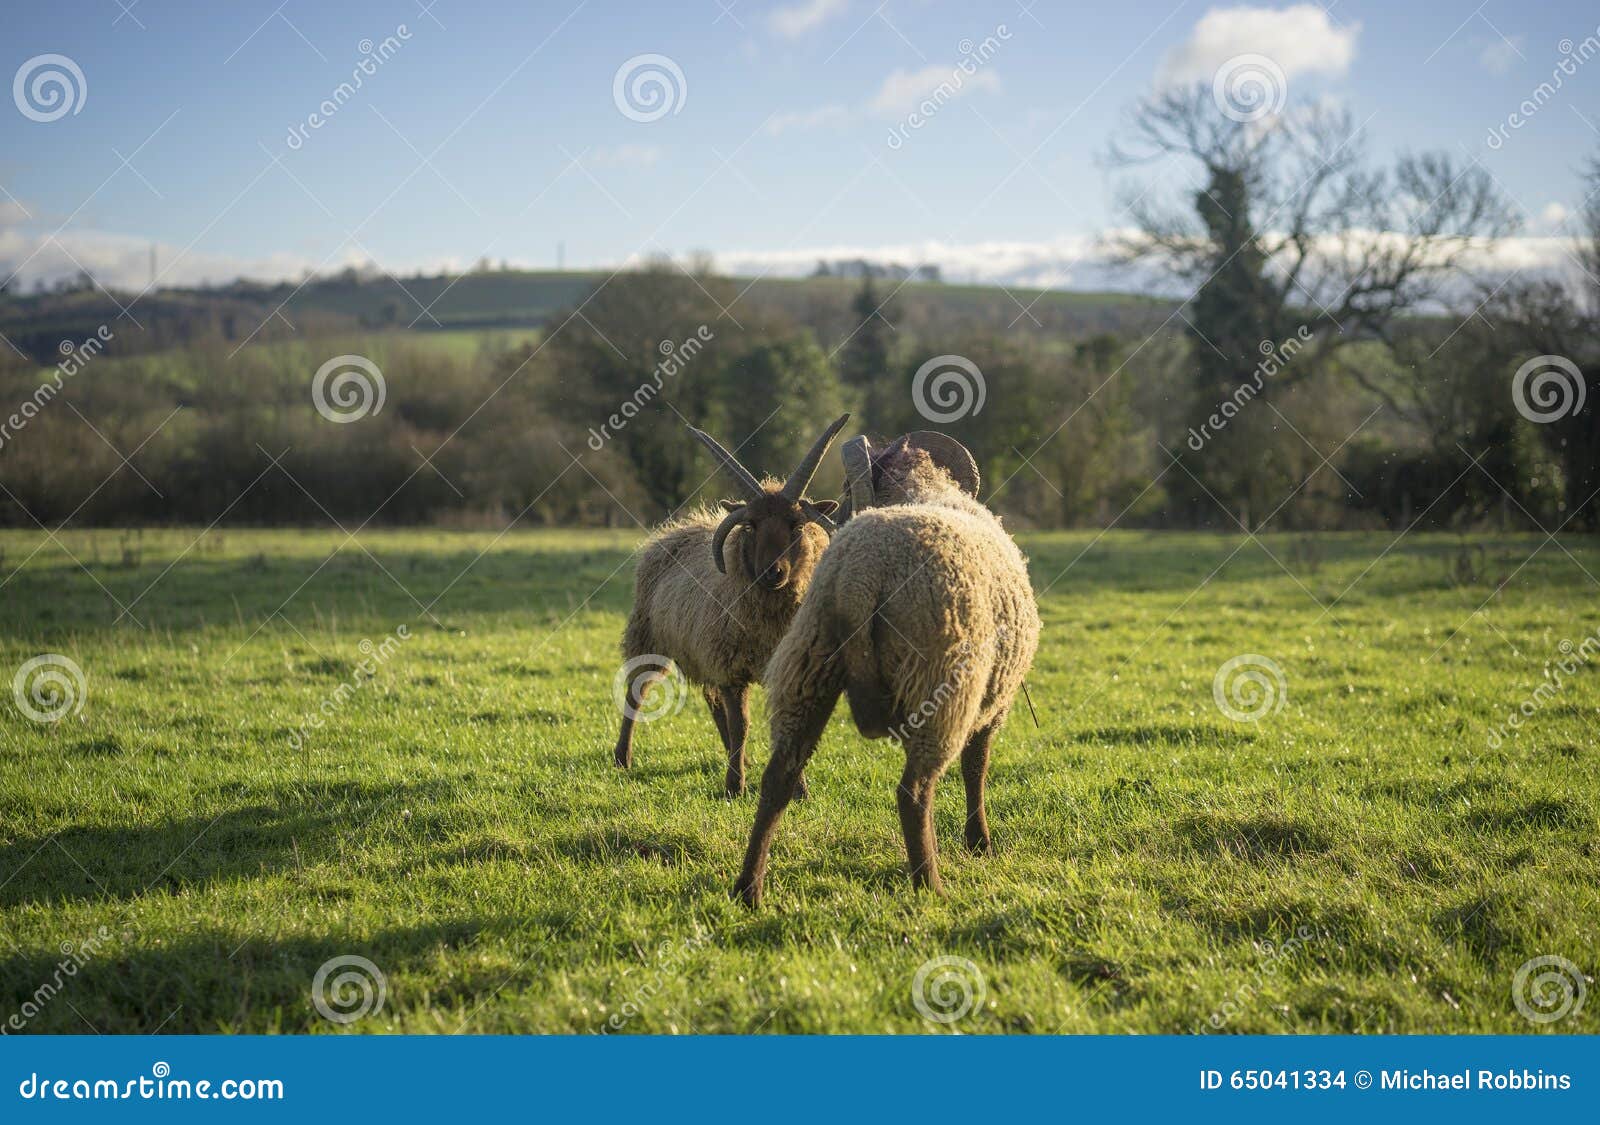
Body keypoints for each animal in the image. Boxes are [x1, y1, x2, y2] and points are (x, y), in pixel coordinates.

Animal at [612, 414, 849, 798]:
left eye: (796, 524)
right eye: (751, 525)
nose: (773, 572)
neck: (768, 626)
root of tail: (680, 526)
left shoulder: (776, 670)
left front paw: (797, 789)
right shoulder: (730, 668)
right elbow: (742, 725)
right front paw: (733, 788)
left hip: (700, 652)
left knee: (712, 704)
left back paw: (741, 760)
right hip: (648, 637)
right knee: (638, 691)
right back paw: (623, 757)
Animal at [733, 430, 1040, 904]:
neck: (921, 484)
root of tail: (863, 574)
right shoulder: (996, 698)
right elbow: (977, 765)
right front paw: (979, 843)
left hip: (808, 666)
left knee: (778, 779)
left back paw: (748, 888)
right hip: (938, 684)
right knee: (913, 792)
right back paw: (929, 884)